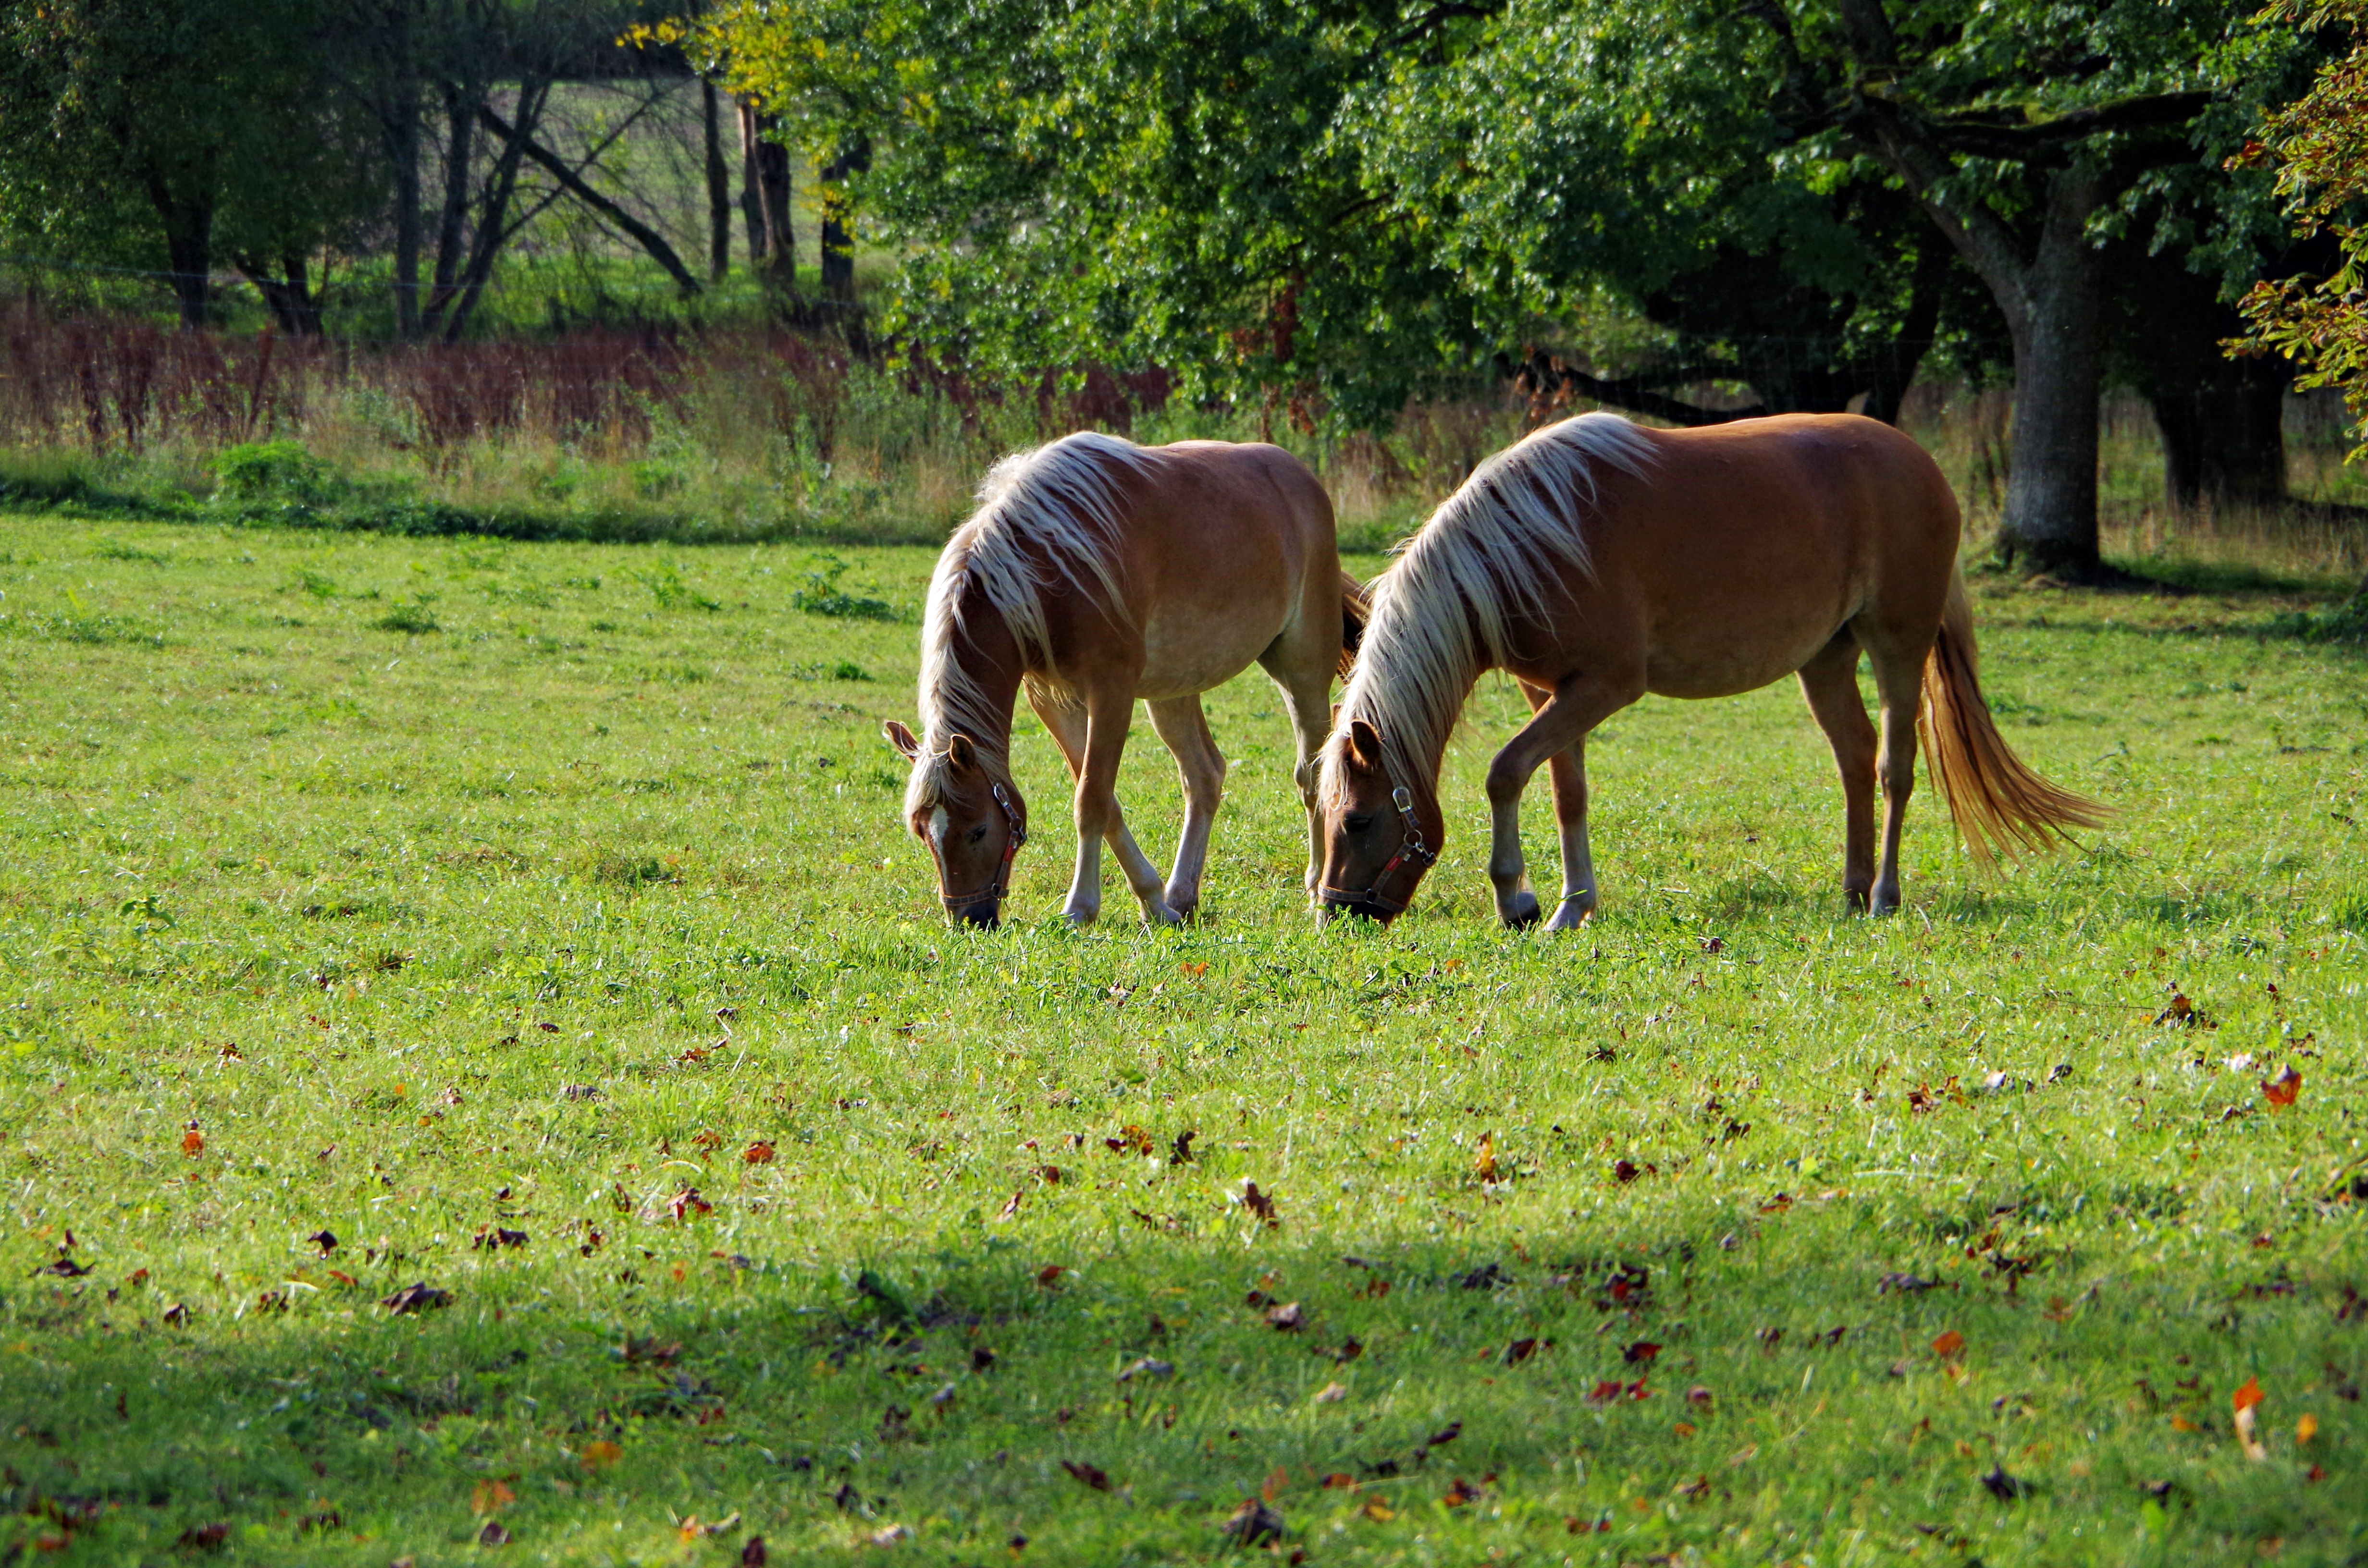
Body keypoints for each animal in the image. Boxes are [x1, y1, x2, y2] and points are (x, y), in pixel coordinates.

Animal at [885, 430, 1366, 928]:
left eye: (978, 830)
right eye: (922, 832)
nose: (971, 919)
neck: (1045, 567)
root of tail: (1301, 478)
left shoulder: (1111, 693)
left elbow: (1092, 800)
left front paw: (1080, 906)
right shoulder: (1053, 703)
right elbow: (1105, 801)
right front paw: (1153, 901)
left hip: (1301, 671)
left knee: (1312, 773)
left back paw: (1315, 891)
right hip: (1172, 692)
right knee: (1204, 776)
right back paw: (1181, 896)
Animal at [1314, 411, 2105, 927]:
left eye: (1358, 820)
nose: (1336, 914)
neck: (1530, 544)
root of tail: (1920, 463)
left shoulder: (1604, 687)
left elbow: (1505, 773)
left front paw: (1516, 899)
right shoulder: (1553, 693)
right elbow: (1567, 794)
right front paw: (1572, 905)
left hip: (1897, 647)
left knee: (1894, 768)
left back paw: (1883, 895)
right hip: (1826, 658)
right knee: (1854, 758)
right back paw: (1851, 891)